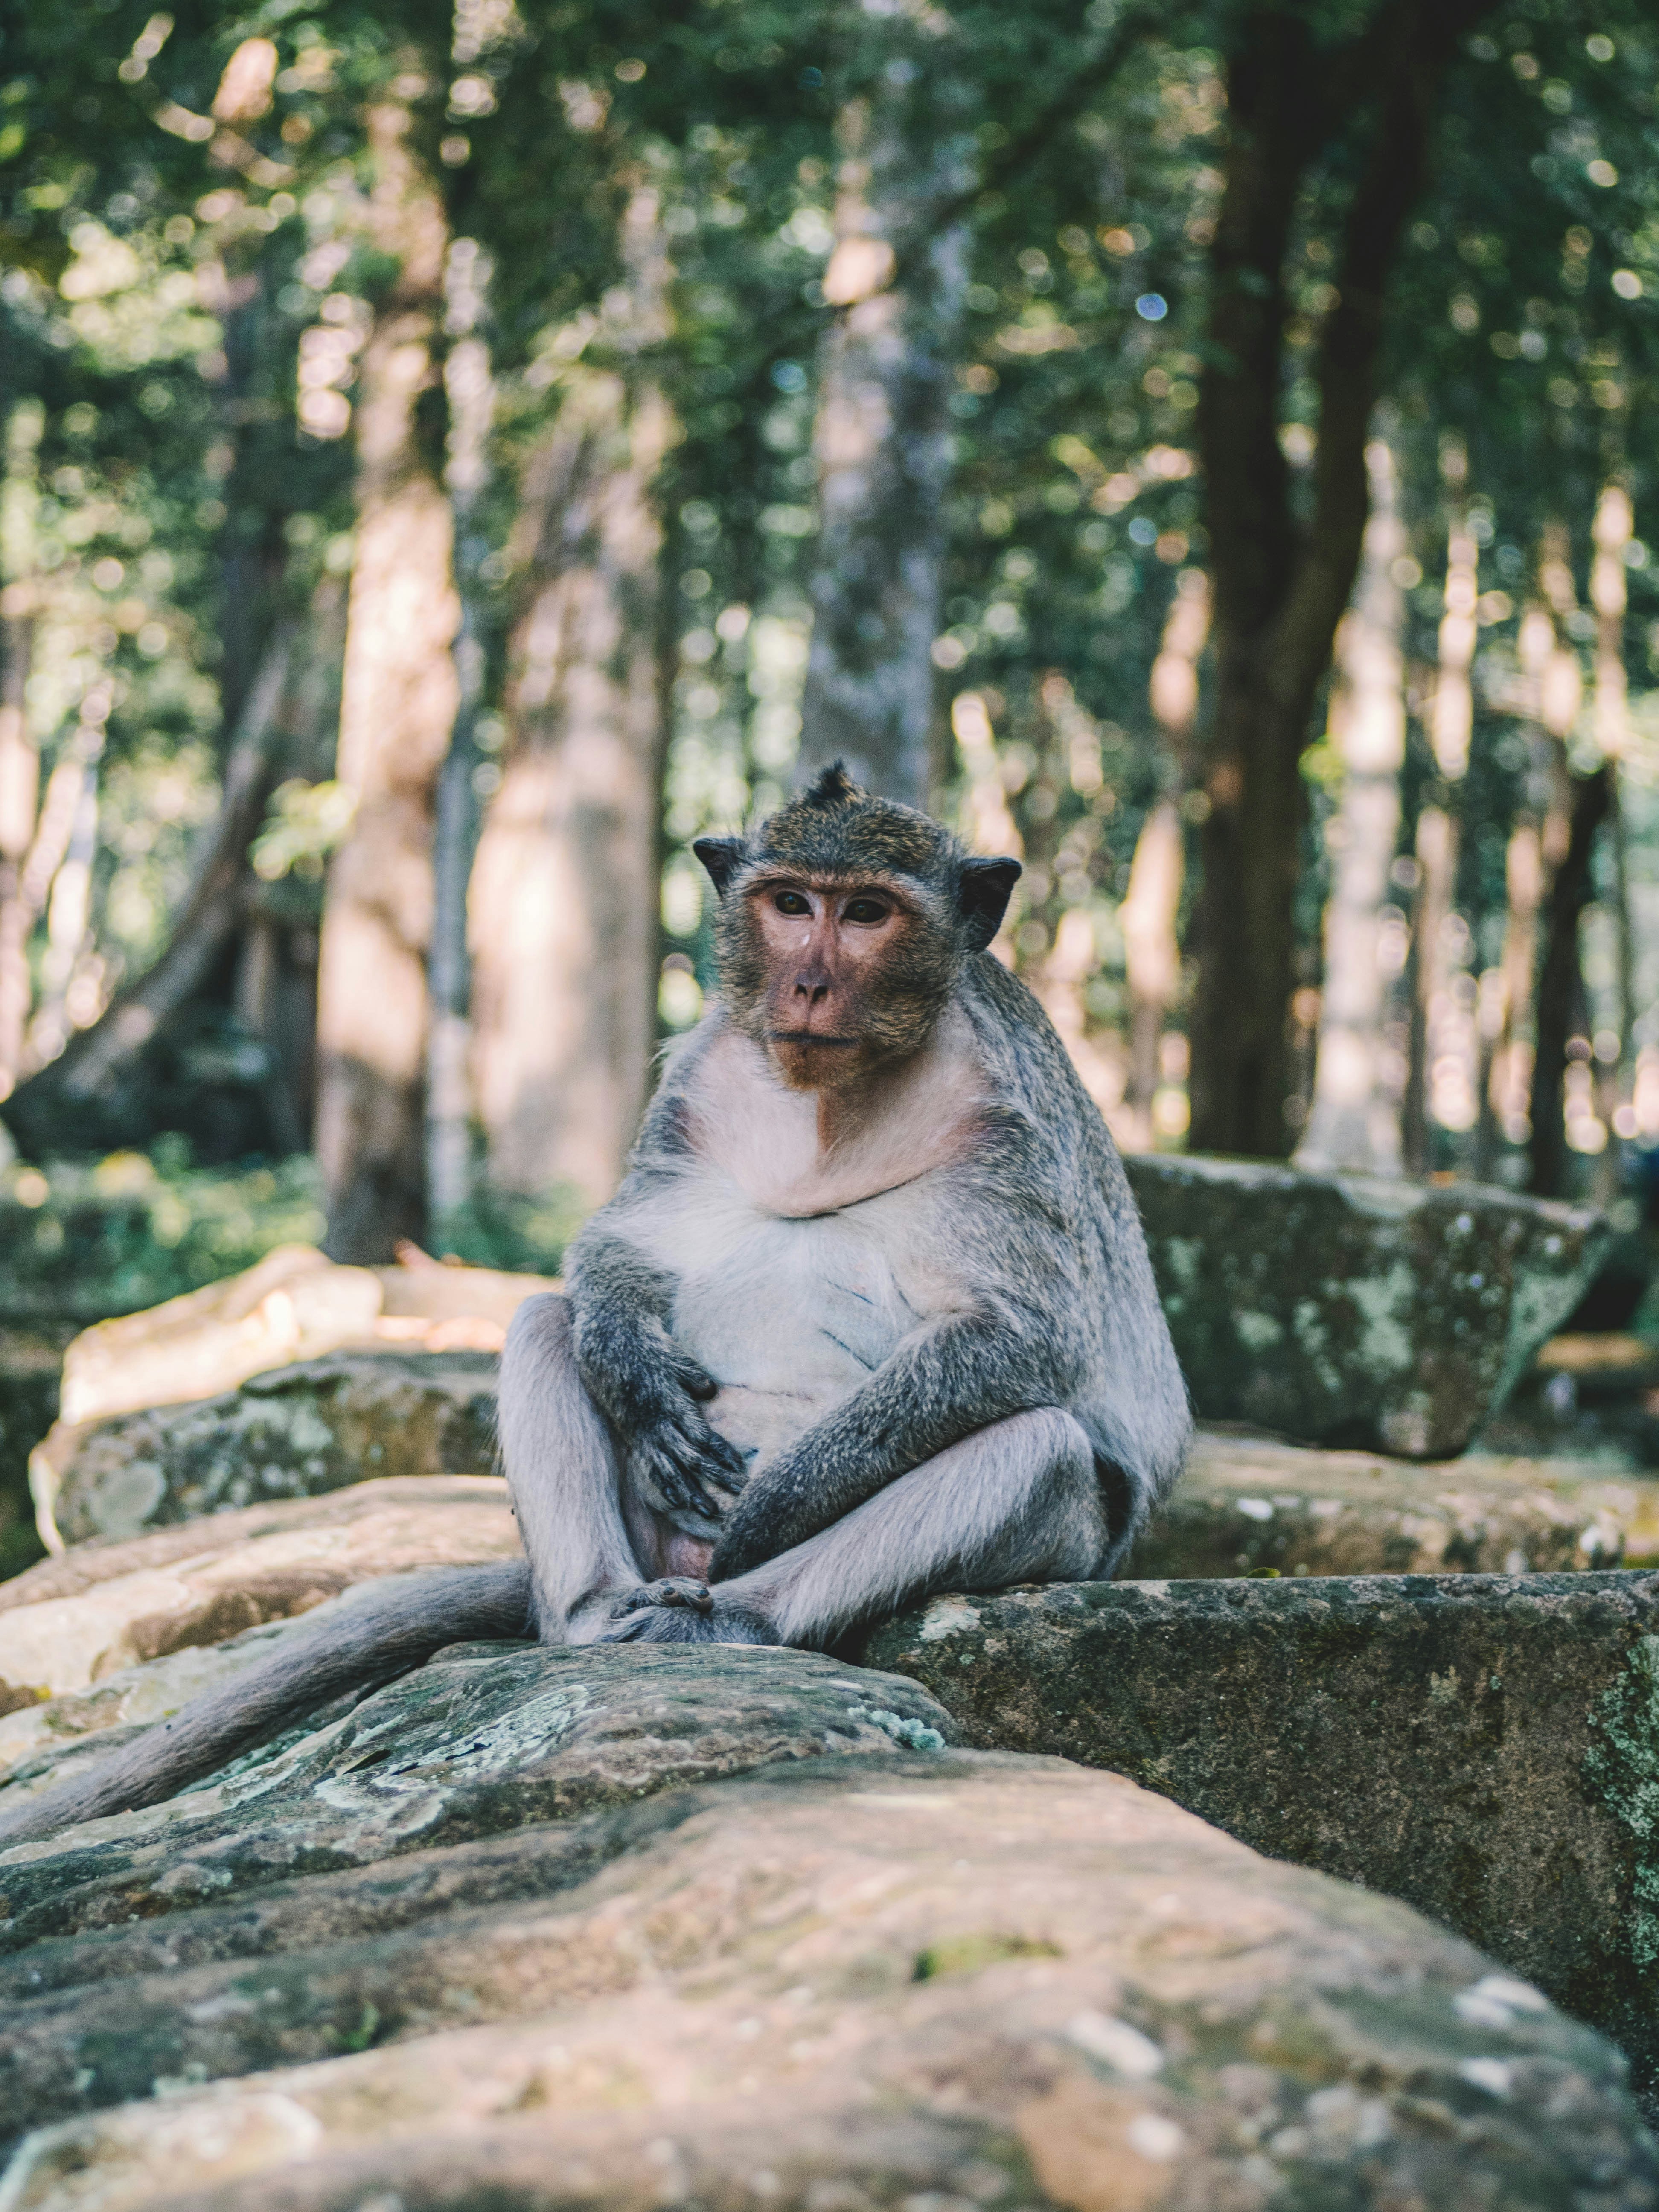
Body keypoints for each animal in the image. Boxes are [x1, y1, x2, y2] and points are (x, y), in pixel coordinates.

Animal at [0, 765, 1188, 1847]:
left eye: (865, 913)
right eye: (789, 903)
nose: (807, 984)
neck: (833, 1104)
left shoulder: (1000, 1119)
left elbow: (1023, 1339)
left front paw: (777, 1505)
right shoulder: (701, 1073)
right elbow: (628, 1246)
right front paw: (634, 1374)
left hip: (1063, 1542)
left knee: (1037, 1450)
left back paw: (735, 1615)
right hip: (632, 1536)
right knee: (539, 1323)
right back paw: (590, 1616)